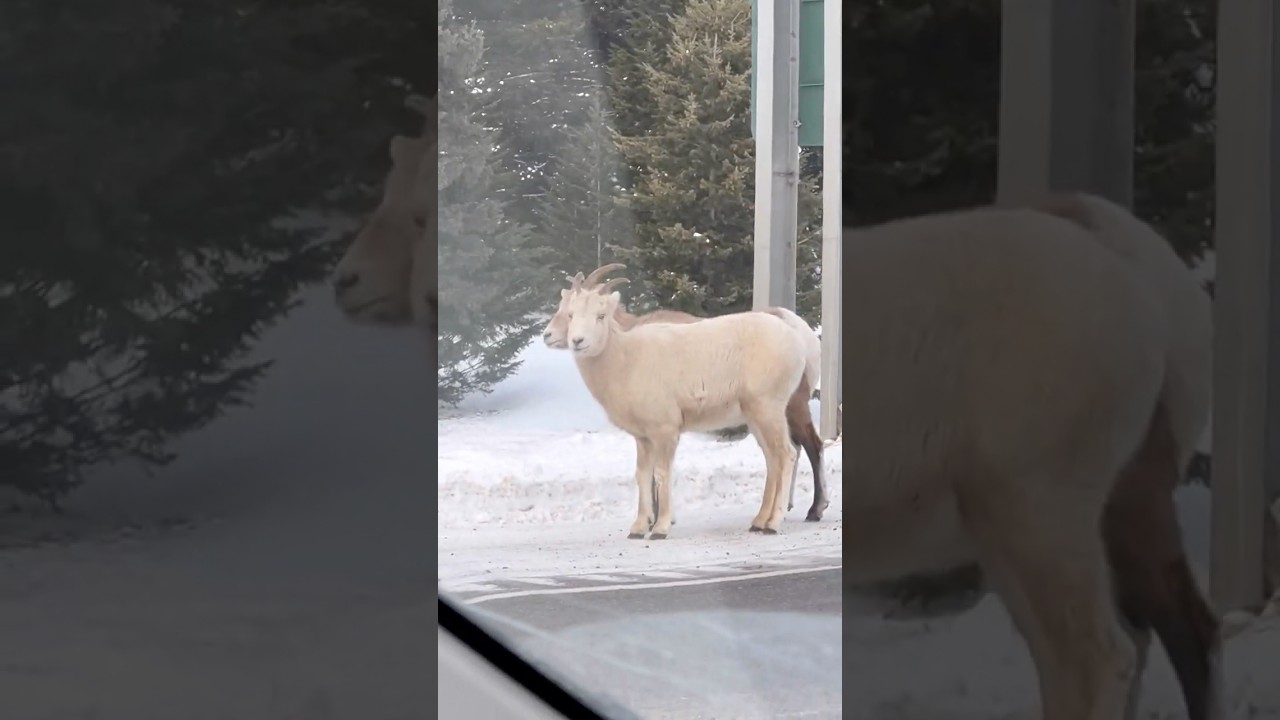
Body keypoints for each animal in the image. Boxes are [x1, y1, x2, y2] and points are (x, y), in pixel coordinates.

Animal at [542, 263, 829, 523]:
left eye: (600, 316)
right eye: (570, 313)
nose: (574, 340)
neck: (627, 355)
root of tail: (799, 338)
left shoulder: (665, 429)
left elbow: (660, 474)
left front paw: (661, 523)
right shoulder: (645, 435)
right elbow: (643, 475)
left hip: (776, 408)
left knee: (796, 451)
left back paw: (793, 517)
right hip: (759, 415)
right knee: (776, 458)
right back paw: (763, 519)